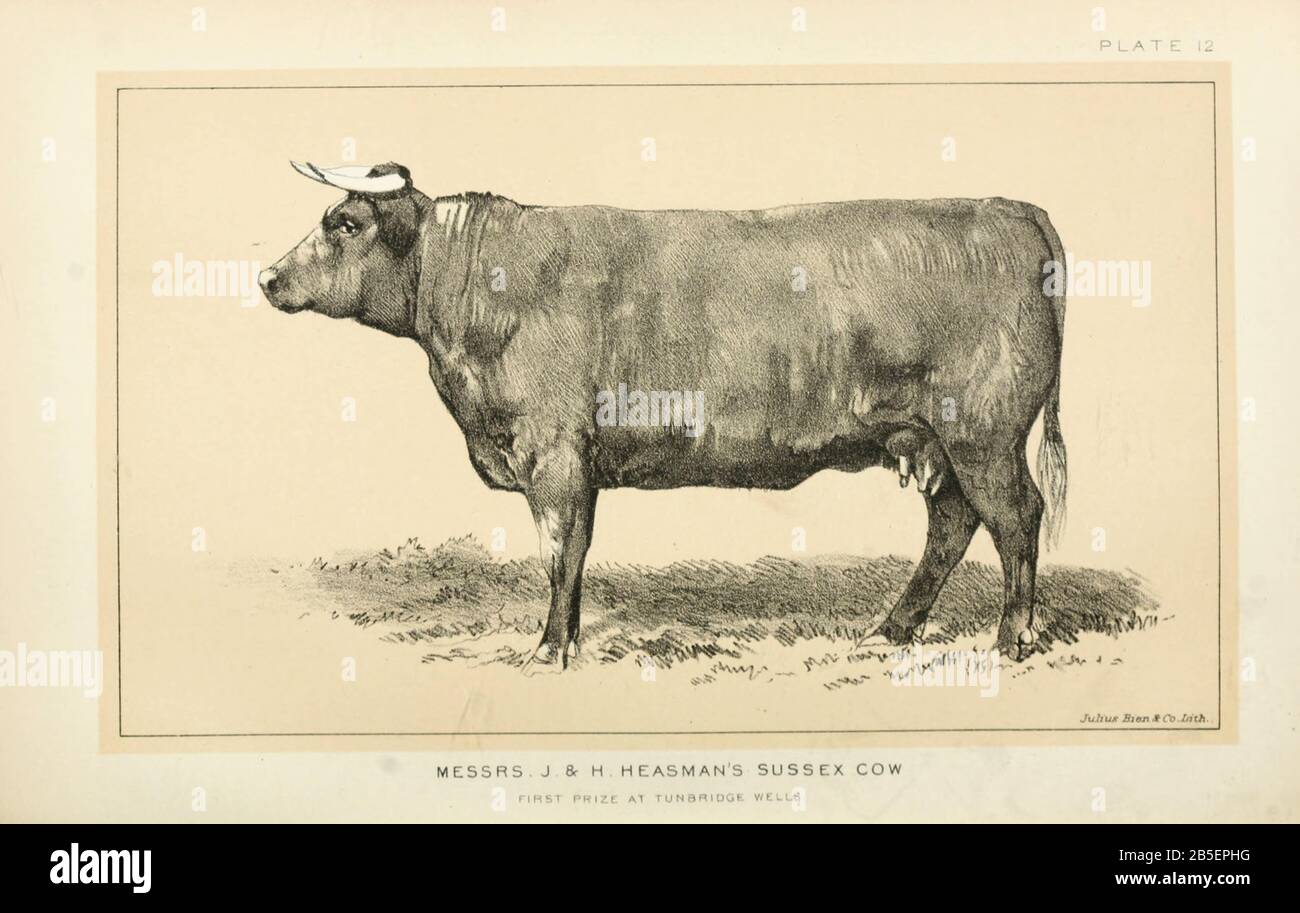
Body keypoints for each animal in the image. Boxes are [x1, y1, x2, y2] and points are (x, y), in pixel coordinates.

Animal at [259, 161, 1067, 671]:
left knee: (1016, 516)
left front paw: (549, 649)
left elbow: (561, 551)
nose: (266, 277)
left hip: (983, 434)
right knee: (954, 523)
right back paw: (890, 629)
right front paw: (563, 642)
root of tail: (1009, 209)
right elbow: (572, 553)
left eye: (346, 222)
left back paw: (1013, 639)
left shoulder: (556, 456)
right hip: (938, 440)